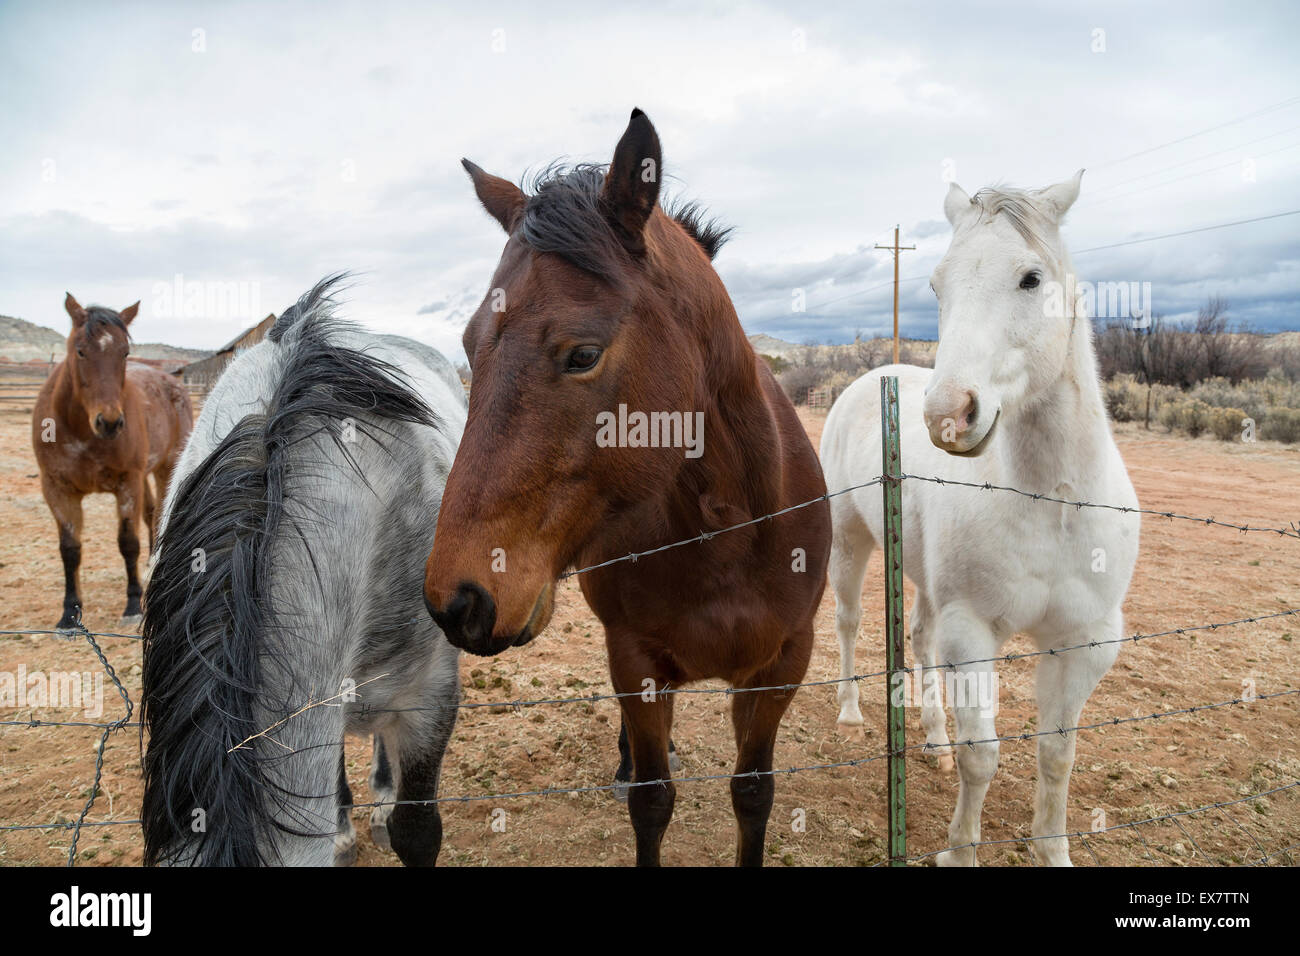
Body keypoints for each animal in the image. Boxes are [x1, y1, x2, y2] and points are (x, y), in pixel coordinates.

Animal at [32, 294, 193, 631]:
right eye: (80, 350)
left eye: (124, 352)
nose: (109, 422)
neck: (81, 431)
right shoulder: (56, 488)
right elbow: (69, 549)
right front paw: (69, 613)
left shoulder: (126, 482)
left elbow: (127, 542)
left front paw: (132, 604)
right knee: (151, 512)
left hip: (166, 467)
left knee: (161, 511)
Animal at [423, 109, 832, 866]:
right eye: (468, 347)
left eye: (583, 353)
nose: (456, 600)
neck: (729, 533)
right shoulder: (633, 658)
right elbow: (652, 800)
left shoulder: (782, 664)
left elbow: (753, 793)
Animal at [820, 172, 1139, 866]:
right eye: (937, 284)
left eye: (1031, 278)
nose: (947, 415)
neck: (1053, 504)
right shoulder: (973, 631)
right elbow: (983, 757)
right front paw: (959, 849)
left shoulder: (1084, 644)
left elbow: (1057, 755)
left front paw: (1053, 850)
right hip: (849, 540)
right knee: (850, 621)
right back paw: (851, 712)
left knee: (918, 639)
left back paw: (933, 739)